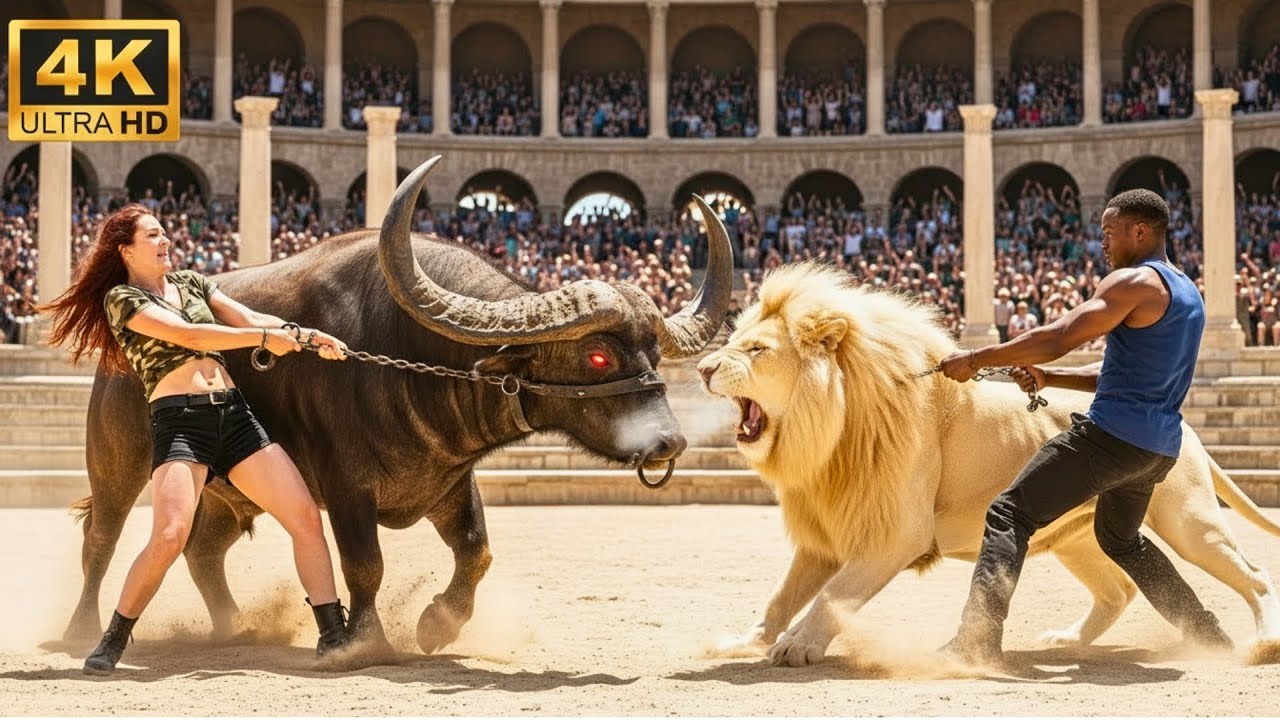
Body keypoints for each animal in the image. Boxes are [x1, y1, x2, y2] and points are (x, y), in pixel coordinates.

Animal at [63, 156, 734, 655]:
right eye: (596, 356)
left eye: (654, 350)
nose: (668, 441)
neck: (410, 356)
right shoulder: (346, 487)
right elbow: (365, 563)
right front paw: (365, 641)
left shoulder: (448, 480)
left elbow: (476, 550)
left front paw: (438, 623)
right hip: (120, 462)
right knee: (104, 537)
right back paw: (79, 631)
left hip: (231, 488)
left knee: (202, 550)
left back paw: (236, 629)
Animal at [696, 262, 1280, 666]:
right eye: (733, 342)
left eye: (756, 349)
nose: (701, 368)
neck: (830, 436)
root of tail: (1188, 429)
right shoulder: (824, 536)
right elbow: (780, 598)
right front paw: (743, 642)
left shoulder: (896, 536)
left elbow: (832, 599)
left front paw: (797, 647)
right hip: (1079, 535)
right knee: (1120, 587)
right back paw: (1067, 640)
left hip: (1188, 522)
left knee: (1254, 575)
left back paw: (1260, 643)